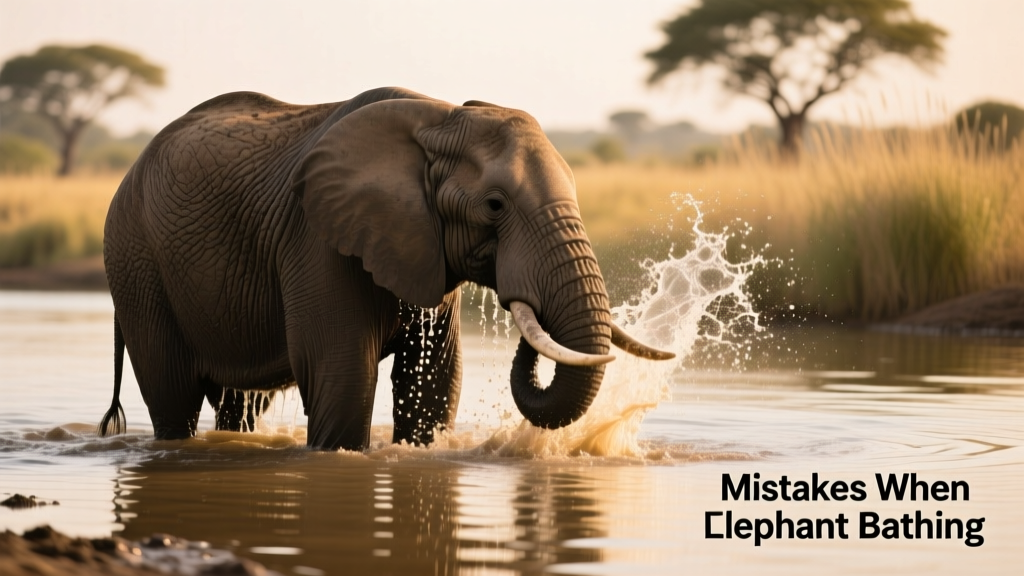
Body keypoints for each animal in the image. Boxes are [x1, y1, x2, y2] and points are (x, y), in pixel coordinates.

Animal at [97, 87, 672, 451]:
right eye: (494, 206)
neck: (439, 116)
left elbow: (435, 385)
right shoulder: (318, 241)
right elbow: (343, 379)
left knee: (237, 405)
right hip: (135, 262)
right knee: (173, 396)